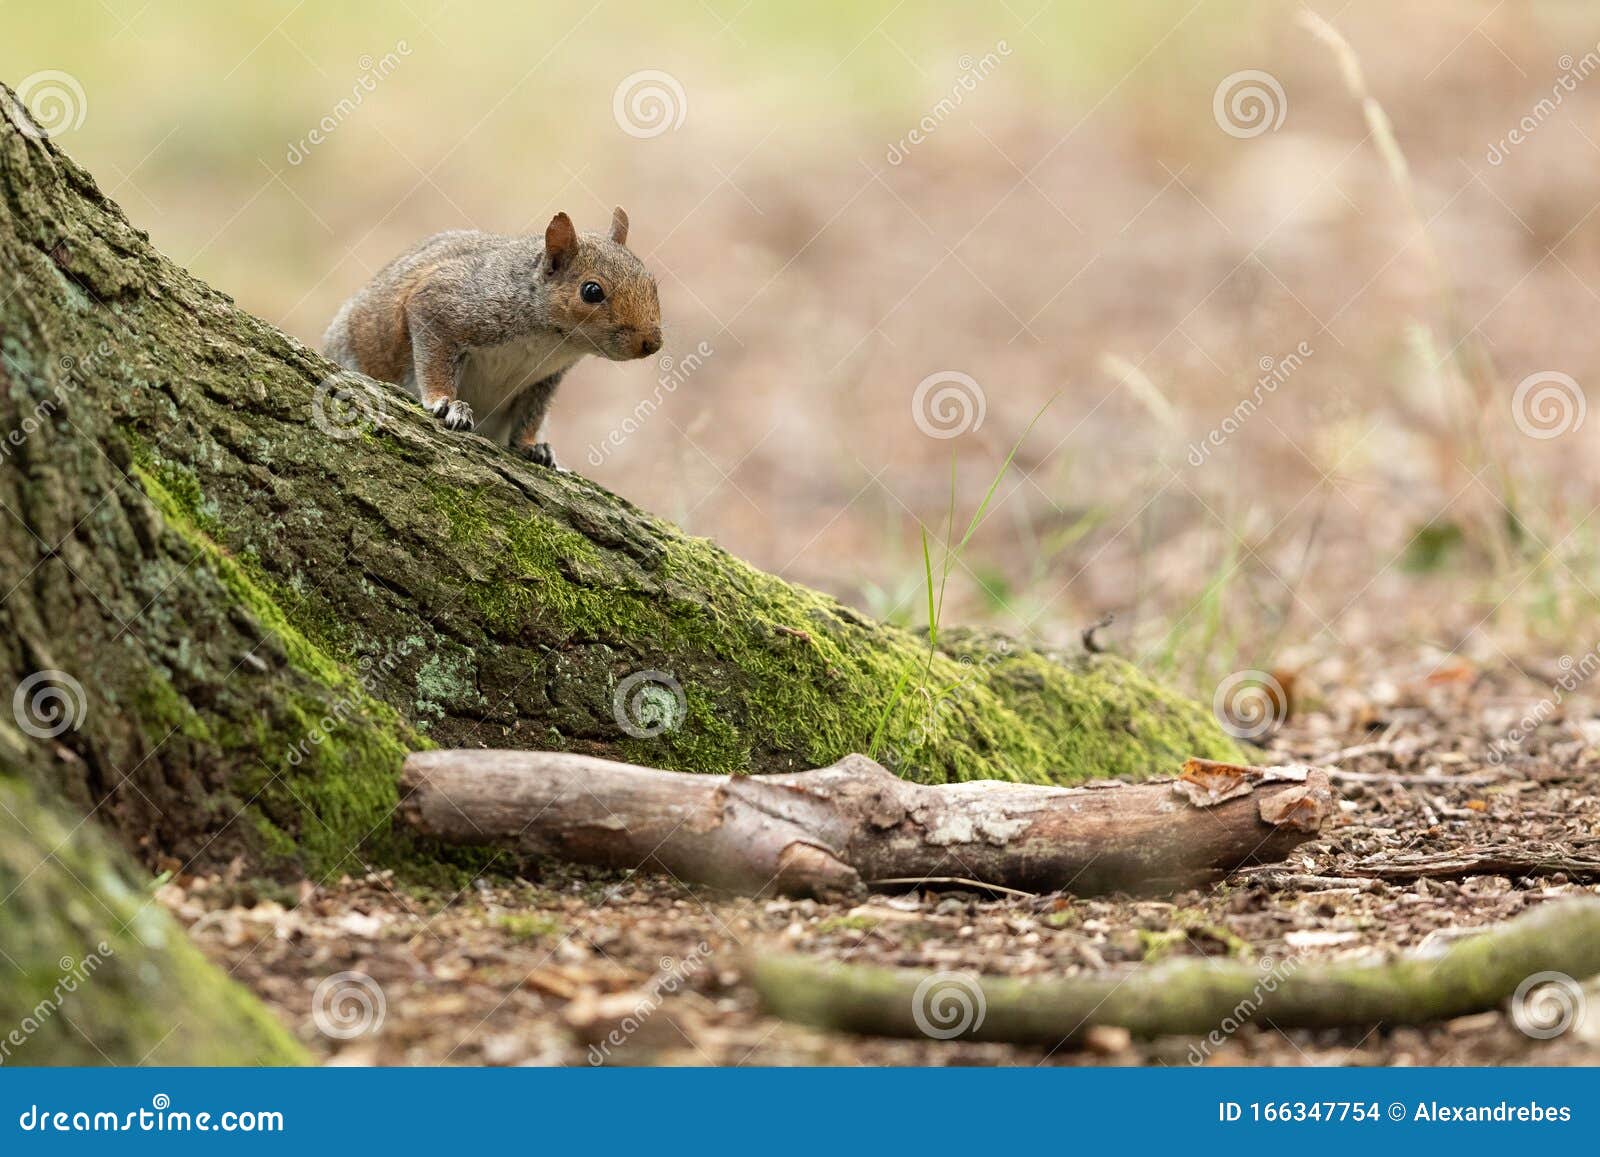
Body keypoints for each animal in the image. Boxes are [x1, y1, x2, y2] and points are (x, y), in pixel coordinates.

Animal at [322, 207, 661, 467]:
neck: (551, 341)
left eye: (651, 281)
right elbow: (434, 361)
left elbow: (532, 414)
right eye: (592, 291)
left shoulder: (545, 378)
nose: (653, 343)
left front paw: (532, 445)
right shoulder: (443, 303)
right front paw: (446, 404)